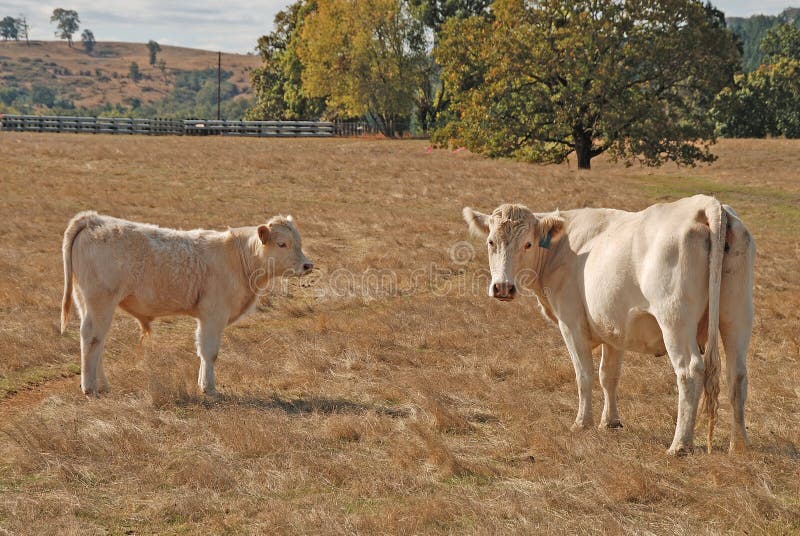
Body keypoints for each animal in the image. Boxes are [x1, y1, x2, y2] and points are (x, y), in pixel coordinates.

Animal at [60, 211, 313, 396]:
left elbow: (202, 351)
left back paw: (102, 384)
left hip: (87, 302)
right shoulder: (214, 314)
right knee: (92, 338)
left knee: (97, 341)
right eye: (282, 244)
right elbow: (210, 352)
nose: (307, 265)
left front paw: (203, 383)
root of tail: (93, 219)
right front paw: (209, 388)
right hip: (100, 301)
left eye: (298, 242)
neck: (238, 258)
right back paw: (89, 387)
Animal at [463, 195, 754, 455]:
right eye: (491, 242)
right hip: (736, 314)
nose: (503, 287)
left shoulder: (571, 323)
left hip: (675, 320)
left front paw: (582, 423)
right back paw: (739, 444)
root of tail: (707, 204)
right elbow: (609, 376)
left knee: (690, 371)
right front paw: (610, 422)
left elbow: (584, 375)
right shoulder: (616, 328)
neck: (564, 246)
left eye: (528, 244)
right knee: (737, 373)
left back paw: (680, 445)